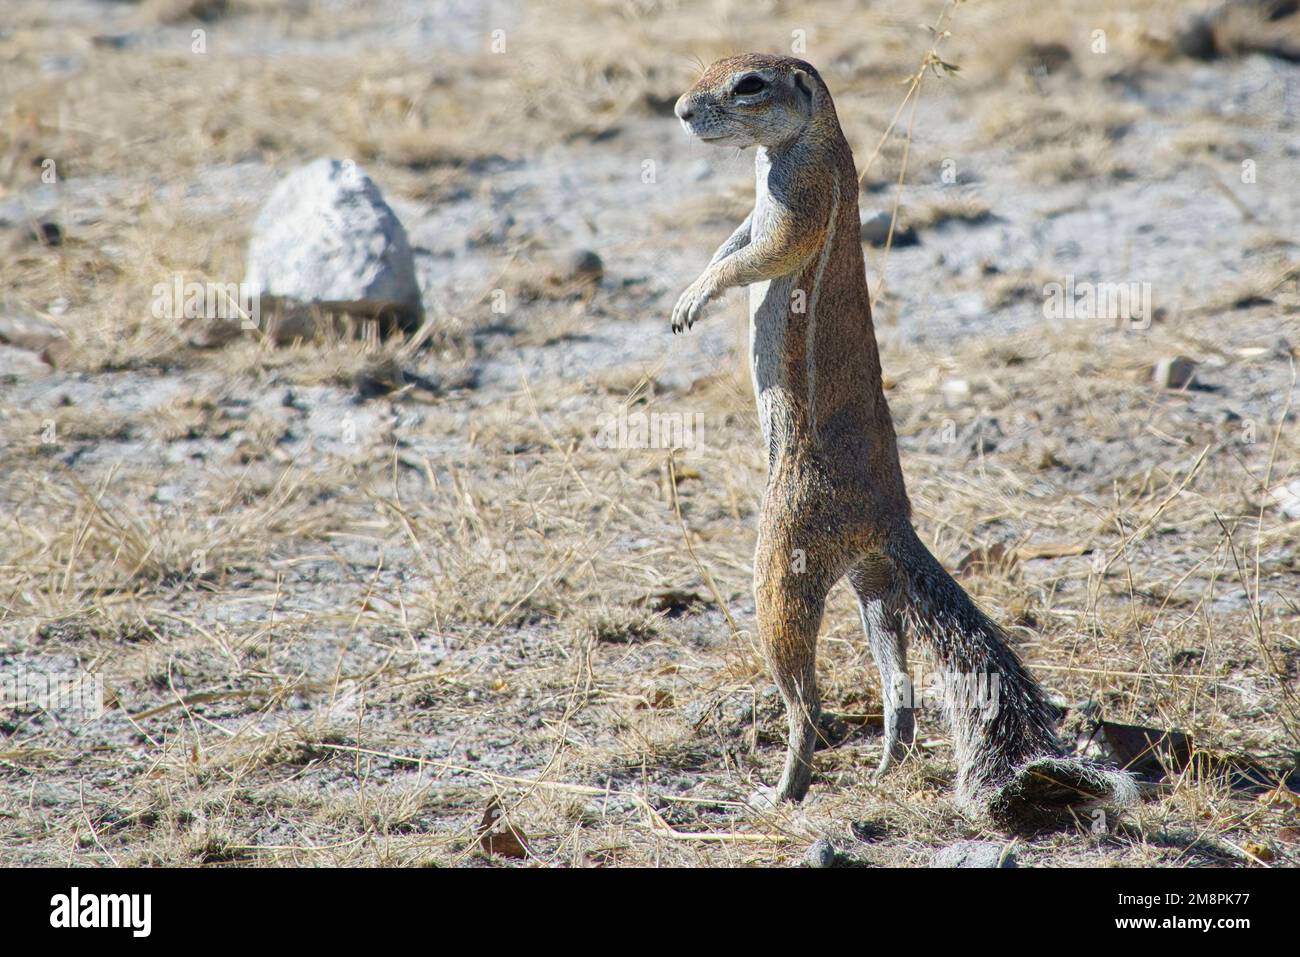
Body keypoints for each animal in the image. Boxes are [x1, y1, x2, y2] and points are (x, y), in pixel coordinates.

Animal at [671, 54, 1135, 829]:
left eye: (749, 85)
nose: (679, 110)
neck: (801, 143)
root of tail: (890, 520)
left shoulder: (800, 201)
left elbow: (759, 253)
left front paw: (694, 296)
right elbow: (734, 238)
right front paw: (694, 279)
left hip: (785, 550)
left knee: (806, 697)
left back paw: (784, 787)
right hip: (874, 584)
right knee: (899, 680)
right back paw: (888, 761)